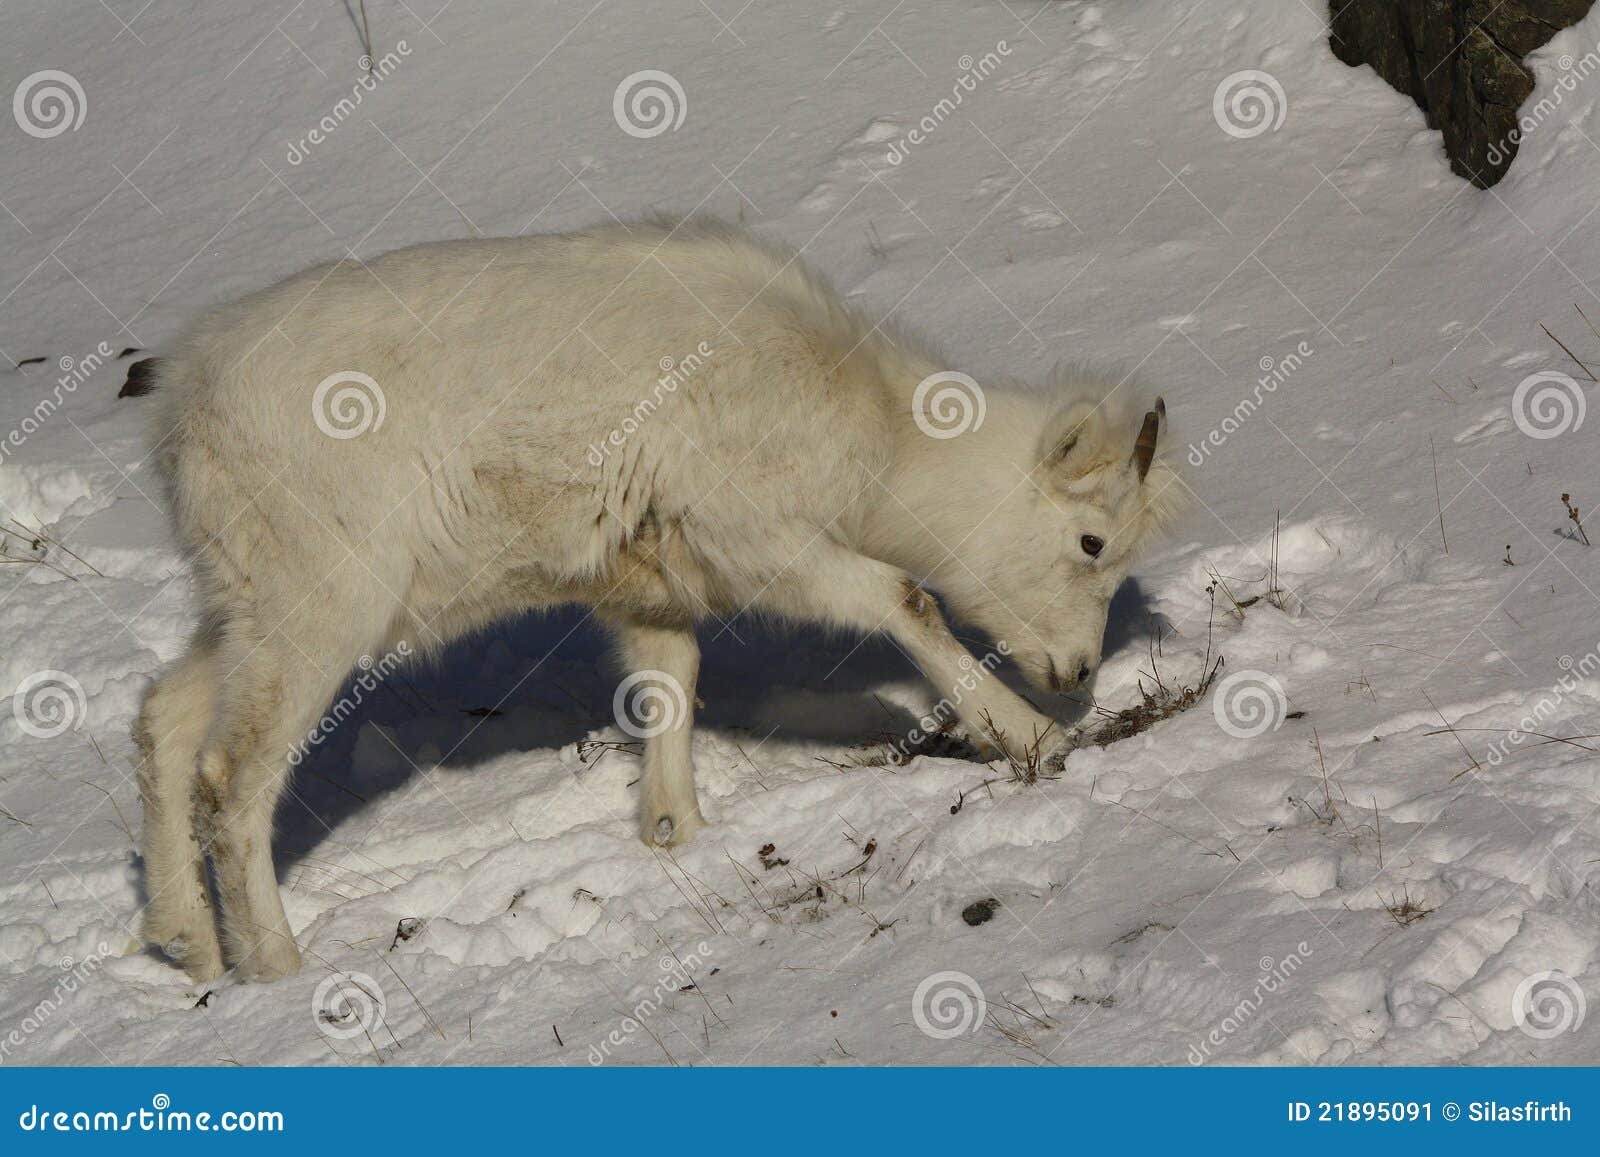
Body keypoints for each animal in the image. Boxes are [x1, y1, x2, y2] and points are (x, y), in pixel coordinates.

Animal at [133, 217, 1185, 982]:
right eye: (1090, 543)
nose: (1076, 672)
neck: (879, 428)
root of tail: (187, 404)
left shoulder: (648, 586)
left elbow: (671, 681)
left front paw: (675, 831)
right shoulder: (760, 541)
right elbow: (905, 599)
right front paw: (1030, 736)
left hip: (250, 606)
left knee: (167, 717)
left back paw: (189, 943)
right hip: (322, 609)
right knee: (233, 776)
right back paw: (277, 967)